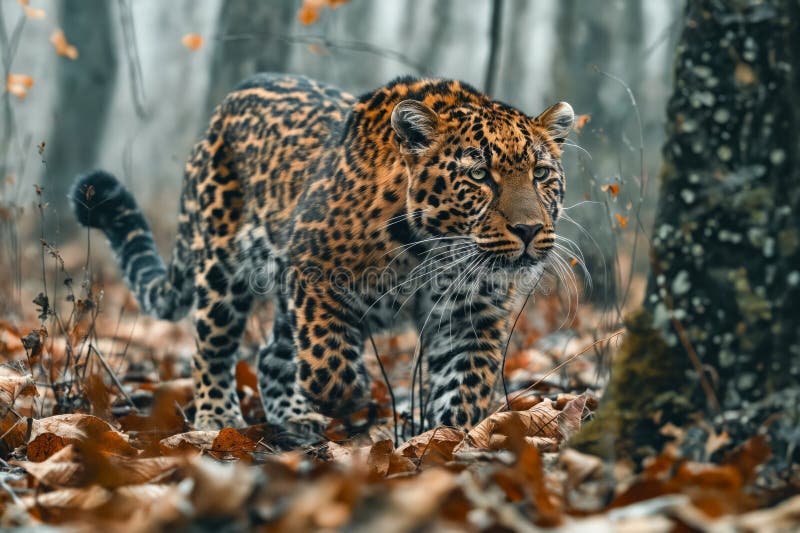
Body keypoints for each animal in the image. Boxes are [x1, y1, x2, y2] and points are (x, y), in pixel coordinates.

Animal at [71, 73, 574, 434]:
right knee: (213, 347)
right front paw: (355, 396)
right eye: (479, 175)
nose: (528, 230)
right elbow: (325, 362)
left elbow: (466, 384)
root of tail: (219, 112)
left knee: (270, 354)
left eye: (541, 173)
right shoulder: (312, 273)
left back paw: (295, 416)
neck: (434, 251)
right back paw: (218, 417)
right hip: (220, 267)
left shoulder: (471, 313)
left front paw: (447, 443)